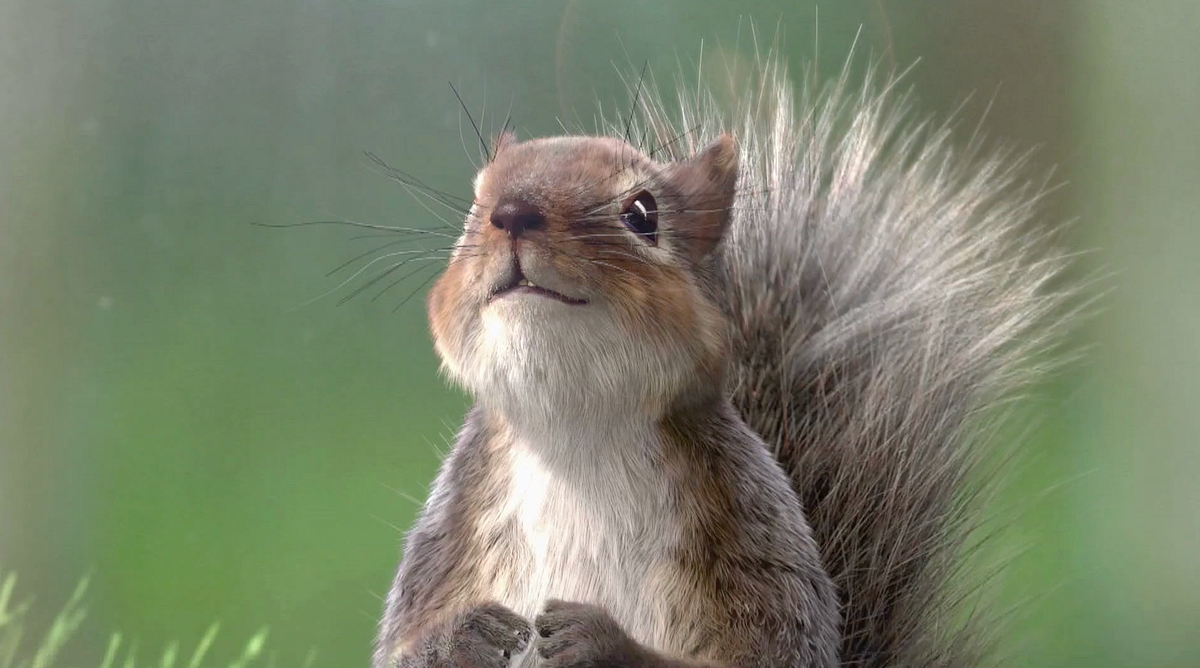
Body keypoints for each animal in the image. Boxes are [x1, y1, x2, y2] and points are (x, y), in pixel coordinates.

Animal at [371, 53, 1071, 668]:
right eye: (473, 205)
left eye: (642, 213)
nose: (510, 214)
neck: (576, 429)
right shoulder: (447, 530)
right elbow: (396, 652)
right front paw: (465, 638)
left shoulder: (749, 517)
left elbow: (770, 655)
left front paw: (601, 643)